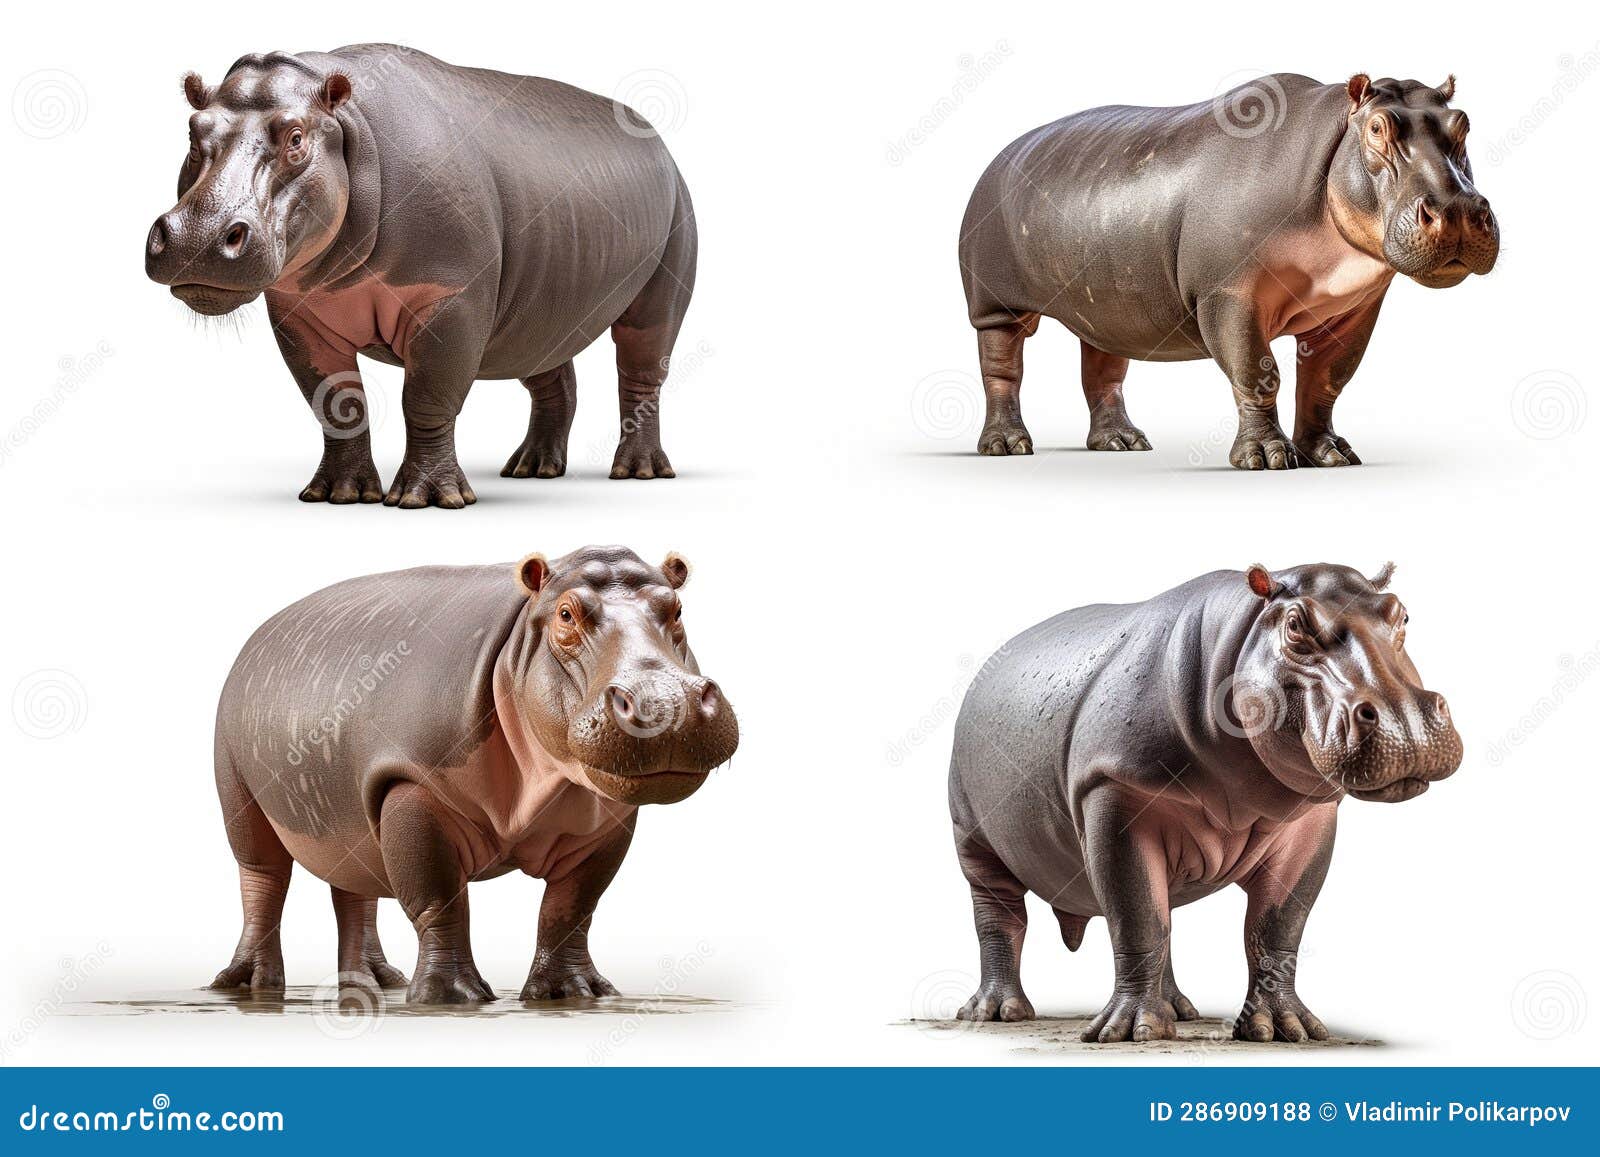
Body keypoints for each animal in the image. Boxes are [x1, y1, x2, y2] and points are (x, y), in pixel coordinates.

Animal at [146, 45, 696, 507]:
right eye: (193, 132)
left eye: (297, 138)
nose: (197, 237)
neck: (350, 128)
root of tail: (661, 145)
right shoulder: (299, 315)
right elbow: (337, 404)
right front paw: (337, 495)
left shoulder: (451, 299)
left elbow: (427, 397)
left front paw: (428, 499)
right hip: (539, 306)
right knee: (552, 375)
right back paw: (532, 468)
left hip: (664, 275)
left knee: (642, 371)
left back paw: (638, 472)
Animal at [210, 546, 737, 1004]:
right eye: (566, 615)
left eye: (677, 609)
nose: (665, 701)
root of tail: (256, 636)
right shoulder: (410, 786)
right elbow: (439, 899)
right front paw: (450, 997)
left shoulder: (608, 820)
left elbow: (570, 908)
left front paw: (574, 993)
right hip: (239, 794)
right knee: (263, 881)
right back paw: (248, 984)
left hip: (348, 814)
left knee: (354, 888)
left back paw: (375, 983)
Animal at [947, 563, 1461, 1041]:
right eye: (1295, 624)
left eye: (1401, 613)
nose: (1405, 721)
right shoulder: (1112, 789)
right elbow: (1136, 917)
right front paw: (1131, 1033)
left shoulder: (1312, 819)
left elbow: (1277, 926)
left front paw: (1288, 1030)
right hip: (972, 835)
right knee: (999, 914)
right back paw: (996, 1014)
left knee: (1164, 915)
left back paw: (1180, 1012)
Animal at [959, 74, 1498, 469]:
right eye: (1378, 128)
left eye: (1464, 124)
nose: (1457, 211)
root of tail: (997, 157)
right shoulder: (1228, 294)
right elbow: (1257, 371)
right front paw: (1269, 458)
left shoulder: (1354, 309)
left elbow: (1325, 380)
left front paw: (1332, 455)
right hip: (995, 304)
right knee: (1002, 366)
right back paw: (1007, 448)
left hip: (1107, 302)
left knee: (1104, 366)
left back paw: (1125, 443)